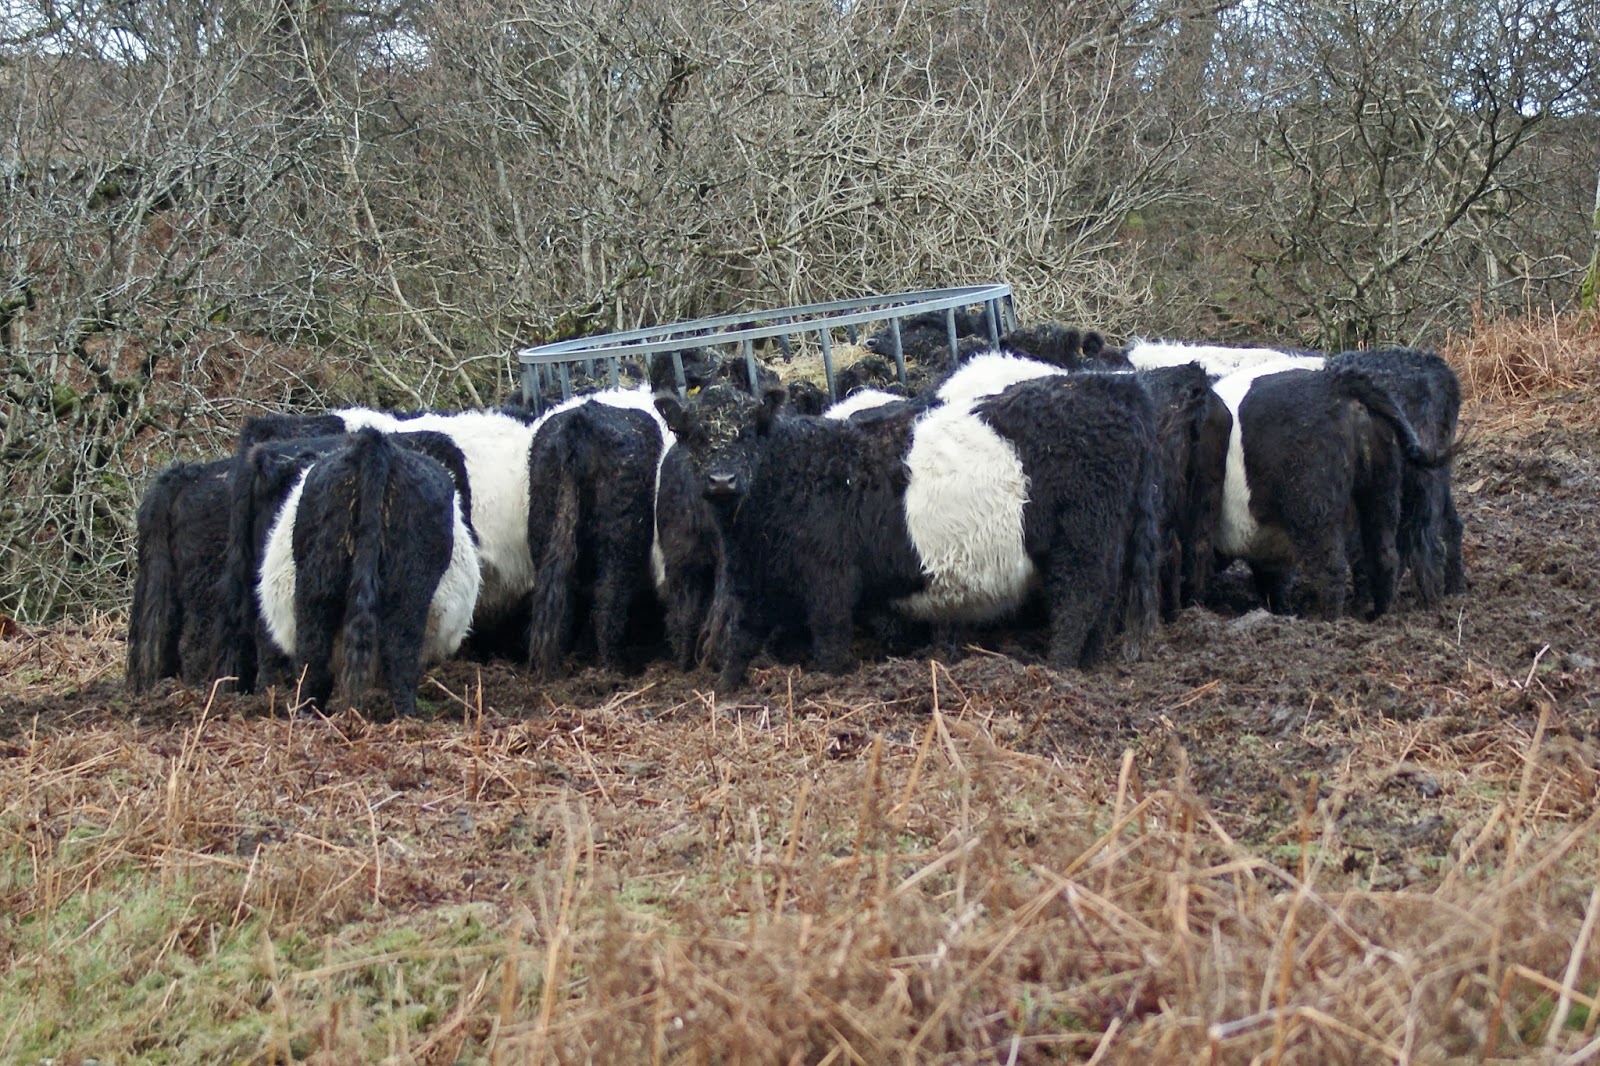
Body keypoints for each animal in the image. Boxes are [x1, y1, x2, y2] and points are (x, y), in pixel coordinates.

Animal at [255, 428, 480, 718]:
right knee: (400, 654)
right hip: (410, 588)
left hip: (317, 581)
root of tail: (374, 445)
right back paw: (408, 717)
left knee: (313, 655)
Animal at [657, 374, 1161, 689]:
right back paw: (1086, 664)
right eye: (694, 436)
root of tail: (1109, 387)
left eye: (746, 434)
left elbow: (830, 641)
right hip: (1101, 538)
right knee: (1101, 601)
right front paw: (725, 694)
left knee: (1079, 600)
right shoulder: (756, 576)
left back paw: (1058, 668)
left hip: (1082, 538)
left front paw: (828, 685)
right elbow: (740, 638)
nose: (722, 480)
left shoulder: (828, 581)